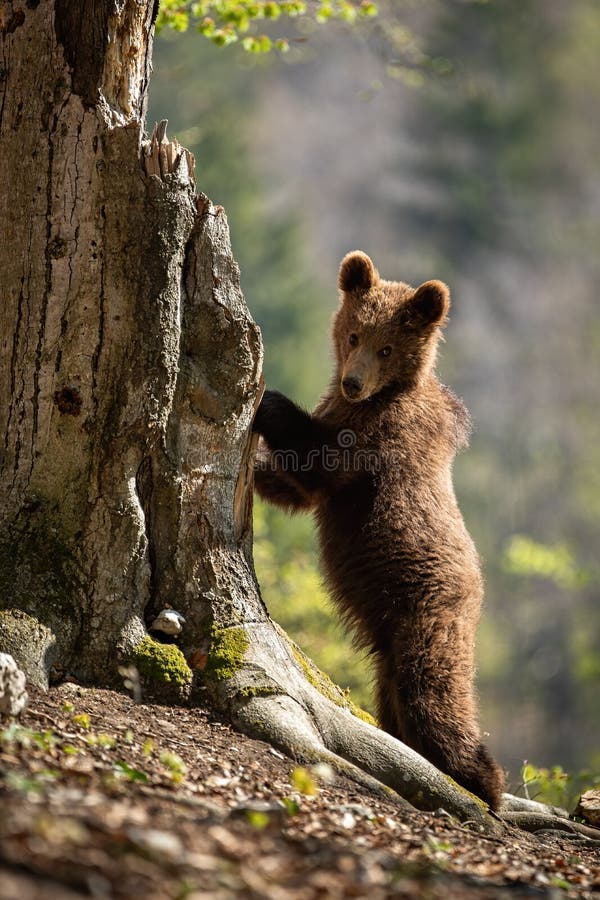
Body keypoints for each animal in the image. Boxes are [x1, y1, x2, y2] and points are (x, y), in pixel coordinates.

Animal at [252, 250, 505, 810]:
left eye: (386, 346)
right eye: (354, 334)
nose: (353, 381)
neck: (382, 396)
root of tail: (477, 594)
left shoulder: (381, 440)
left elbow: (319, 464)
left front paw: (267, 400)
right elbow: (300, 490)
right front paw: (257, 470)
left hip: (427, 612)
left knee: (434, 694)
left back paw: (483, 782)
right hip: (390, 636)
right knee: (395, 696)